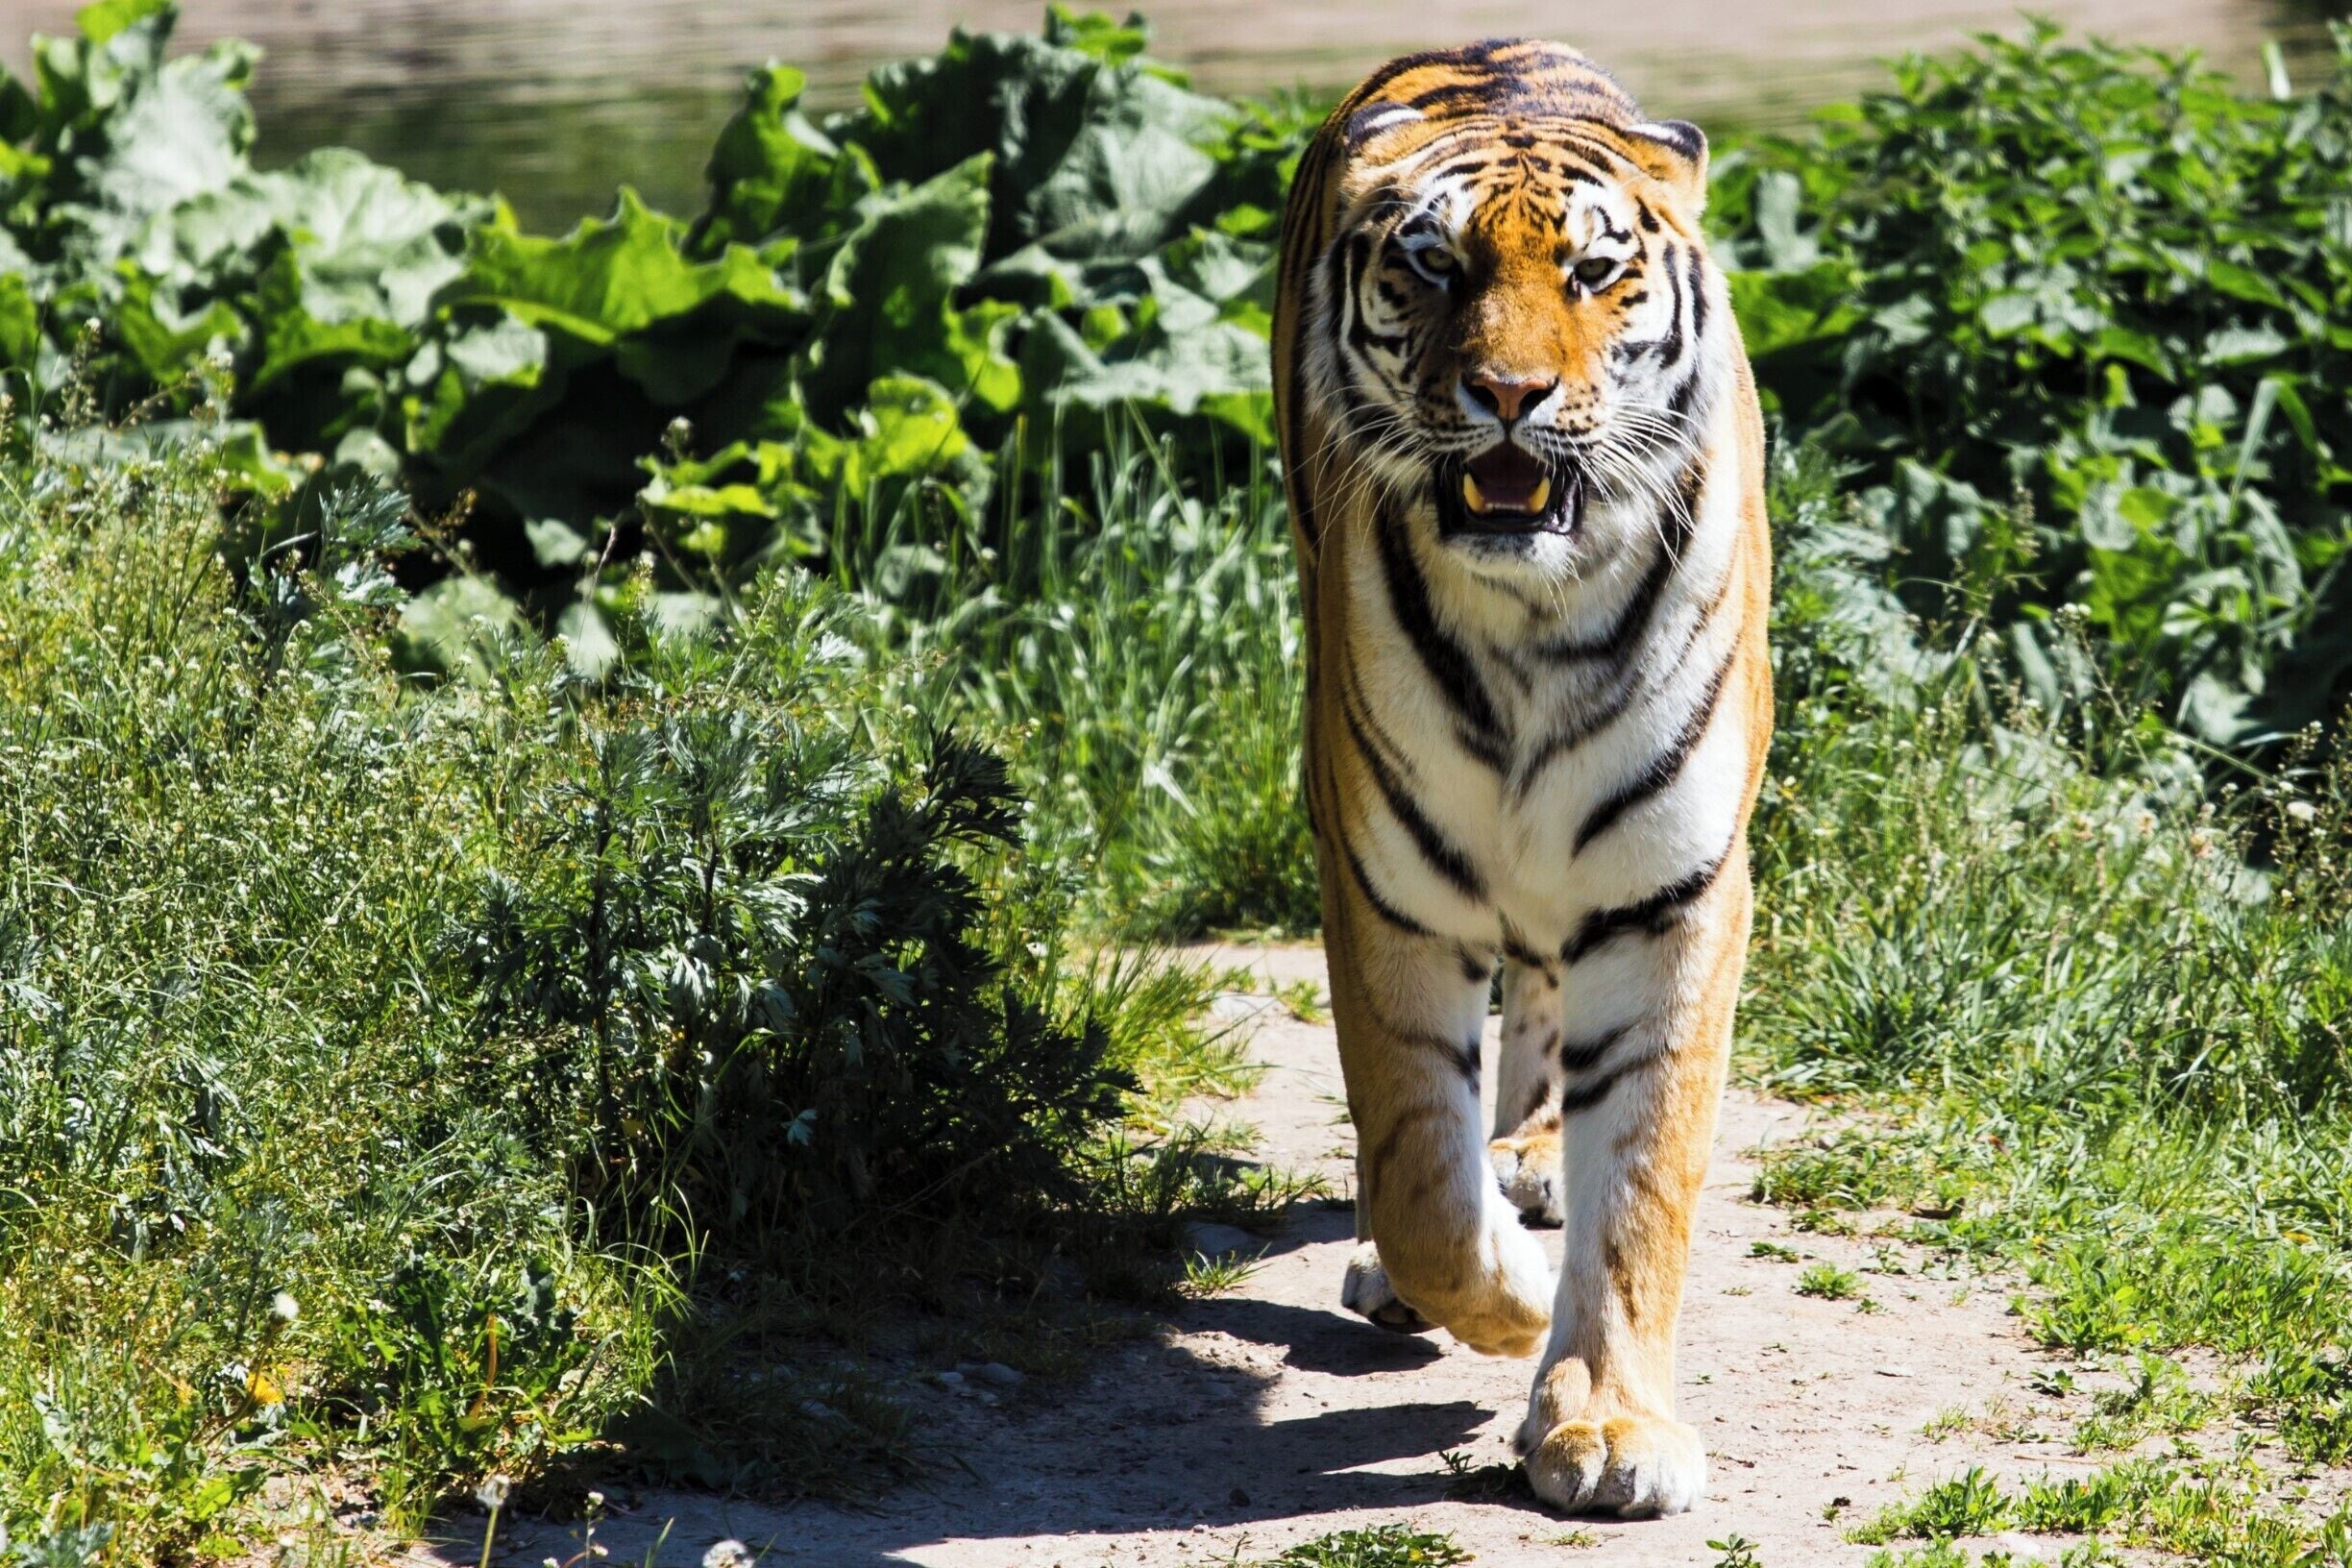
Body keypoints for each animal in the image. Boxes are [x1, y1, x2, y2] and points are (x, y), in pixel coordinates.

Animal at [1270, 40, 1772, 1518]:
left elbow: (1646, 1179)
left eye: (1595, 273)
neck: (1534, 627)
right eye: (1434, 268)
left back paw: (1539, 1156)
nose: (1507, 395)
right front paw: (1496, 1294)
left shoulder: (1675, 891)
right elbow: (1419, 1172)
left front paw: (1605, 1424)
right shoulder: (1385, 888)